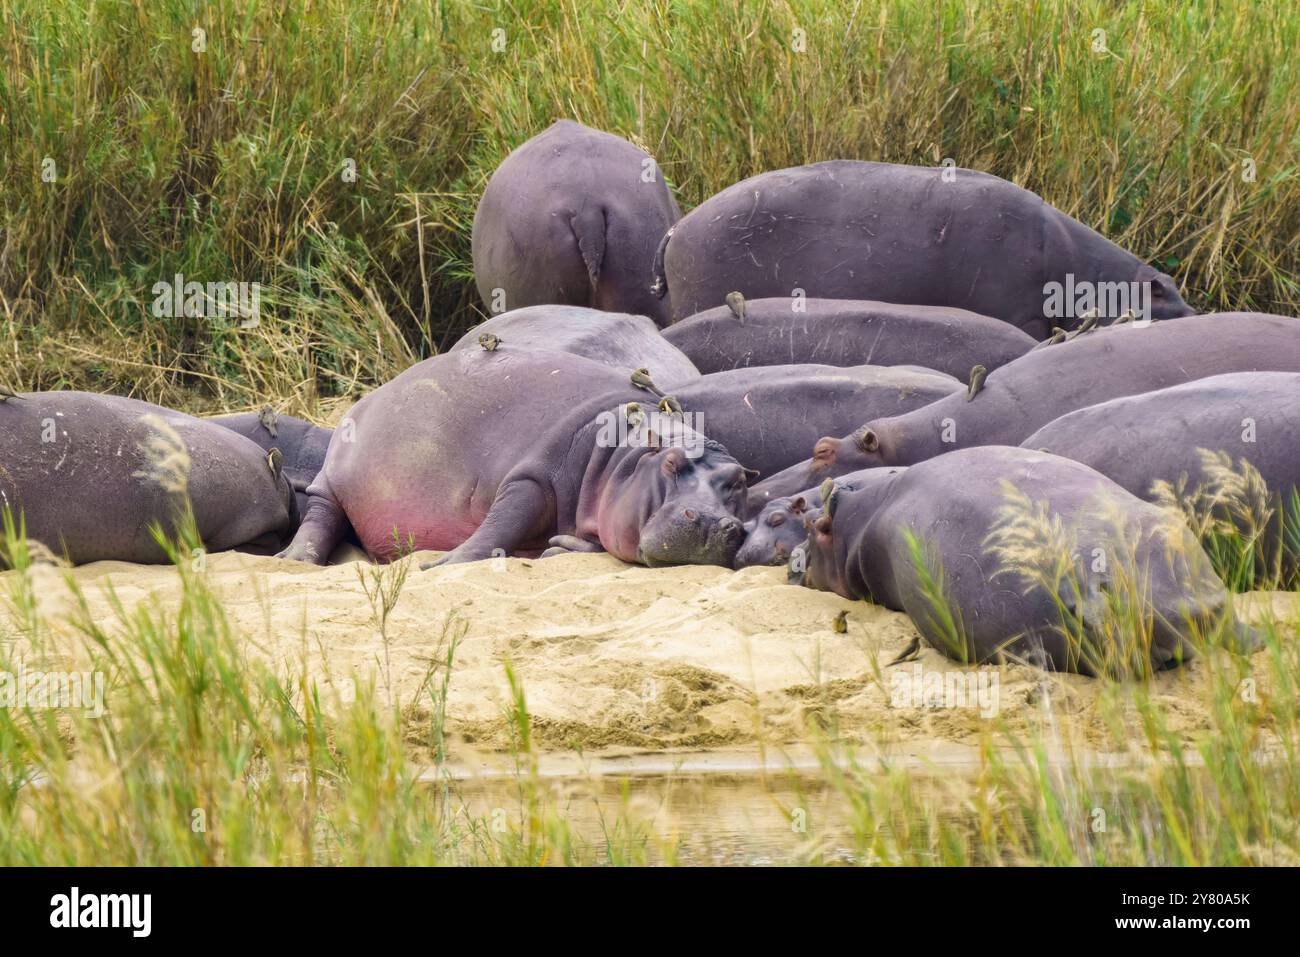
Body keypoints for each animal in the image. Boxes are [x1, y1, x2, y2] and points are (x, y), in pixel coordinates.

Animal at [277, 348, 751, 567]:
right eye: (670, 464)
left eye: (739, 479)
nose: (713, 521)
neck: (622, 457)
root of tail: (367, 398)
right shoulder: (530, 479)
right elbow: (500, 524)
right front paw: (441, 563)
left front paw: (558, 548)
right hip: (332, 483)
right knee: (320, 517)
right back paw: (293, 560)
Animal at [652, 160, 1194, 337]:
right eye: (1161, 291)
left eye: (1174, 284)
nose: (1196, 313)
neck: (1090, 272)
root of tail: (676, 229)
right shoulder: (1021, 314)